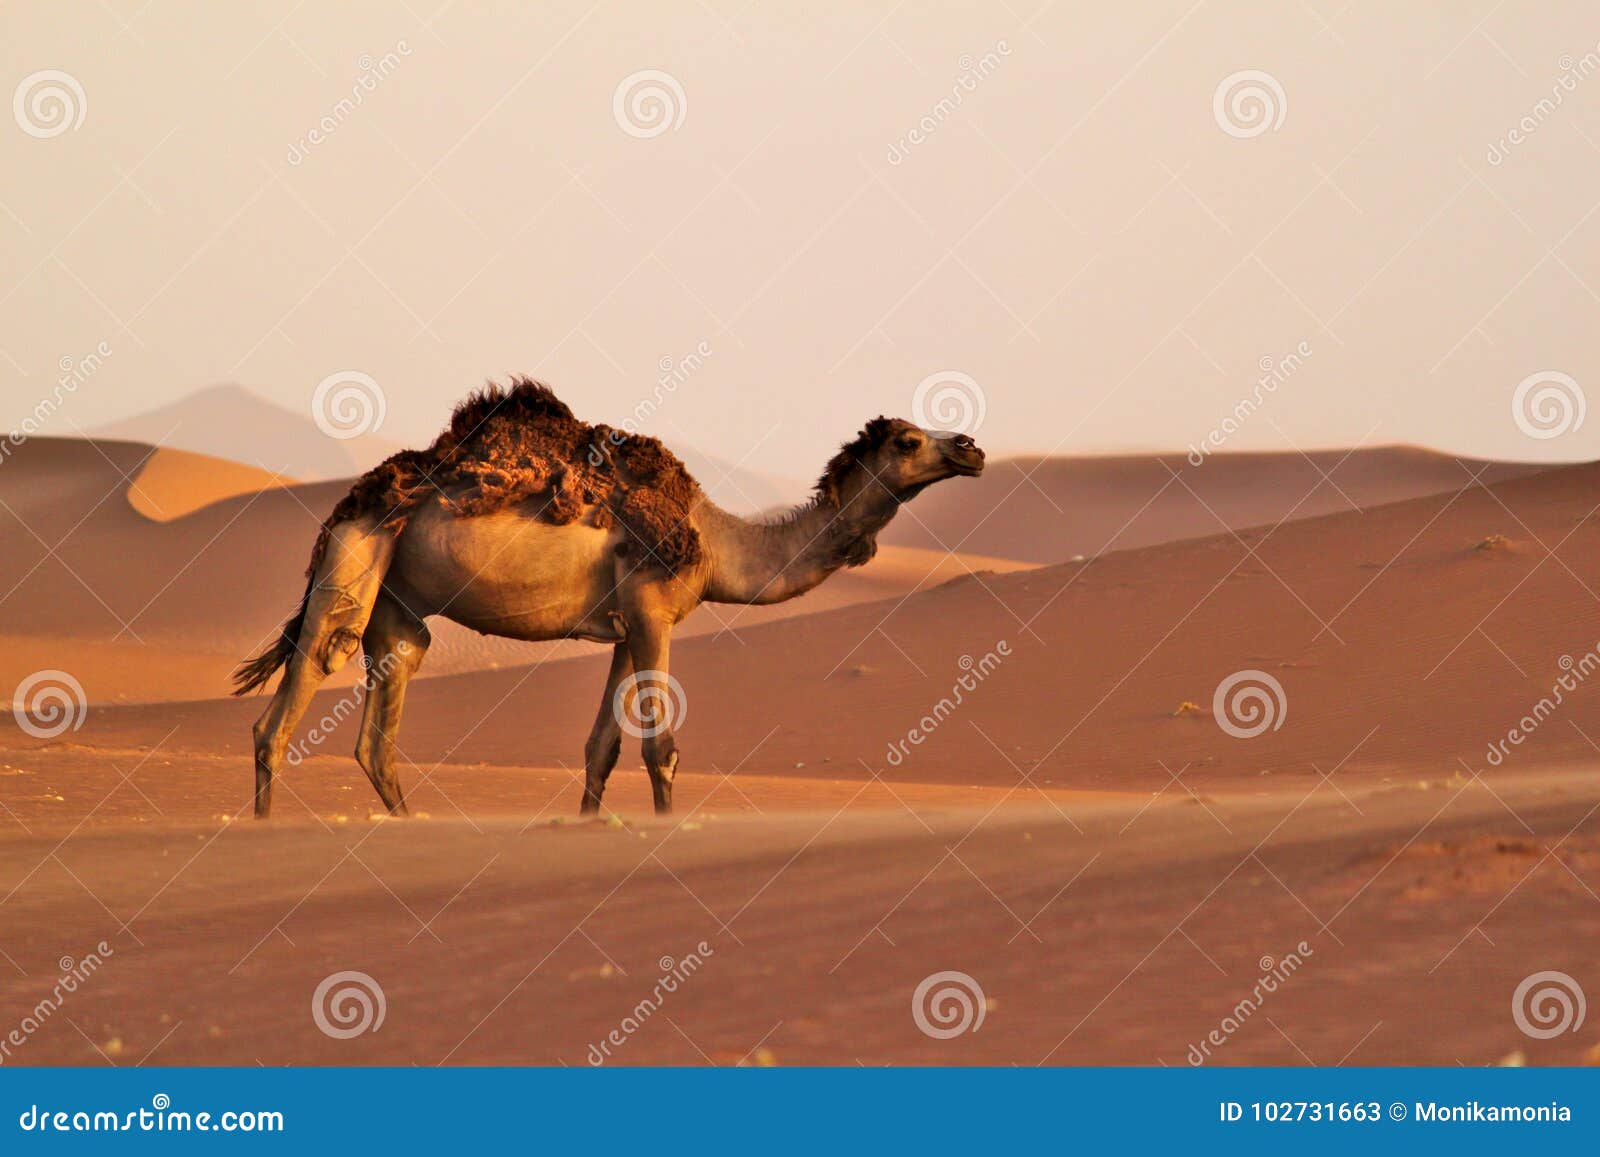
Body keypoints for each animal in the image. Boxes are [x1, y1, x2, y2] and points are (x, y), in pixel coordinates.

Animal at [234, 379, 985, 819]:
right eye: (910, 440)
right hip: (355, 557)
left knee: (380, 721)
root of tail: (349, 500)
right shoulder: (653, 611)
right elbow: (662, 747)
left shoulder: (629, 624)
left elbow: (603, 746)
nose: (972, 446)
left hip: (398, 601)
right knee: (296, 693)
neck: (718, 543)